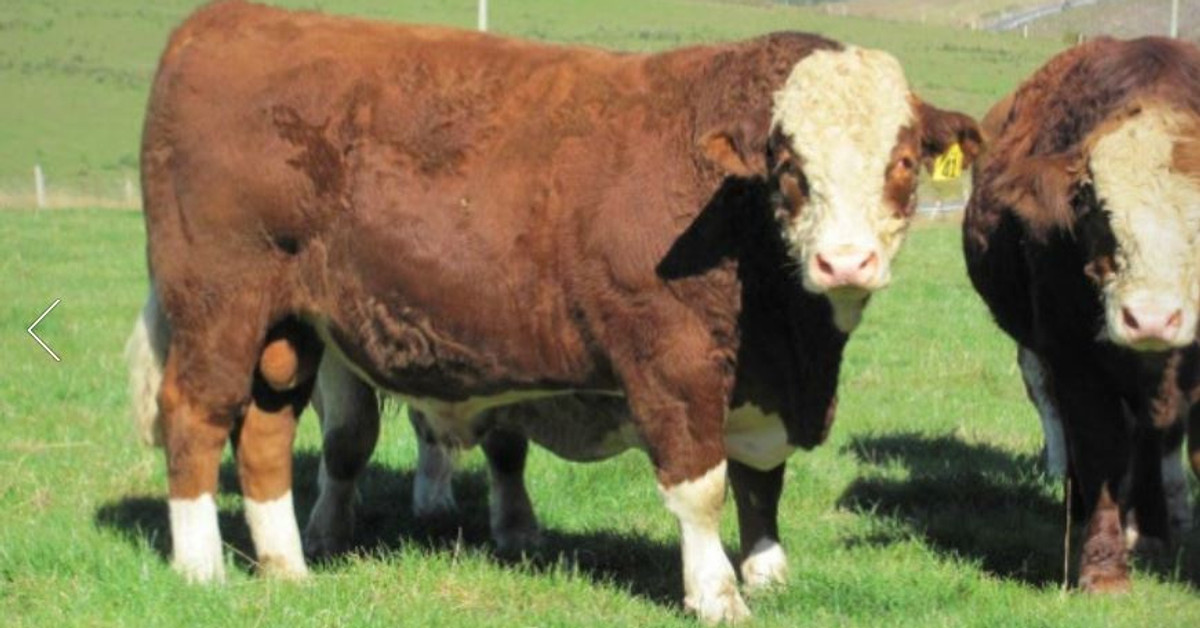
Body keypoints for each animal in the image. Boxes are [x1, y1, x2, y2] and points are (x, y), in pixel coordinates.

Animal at [127, 1, 981, 621]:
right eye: (789, 167)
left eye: (904, 162)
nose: (846, 262)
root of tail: (223, 21)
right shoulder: (672, 359)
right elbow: (702, 485)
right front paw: (717, 593)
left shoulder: (763, 383)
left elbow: (760, 479)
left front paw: (768, 571)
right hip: (218, 304)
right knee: (198, 415)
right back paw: (202, 568)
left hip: (289, 330)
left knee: (266, 433)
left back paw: (286, 568)